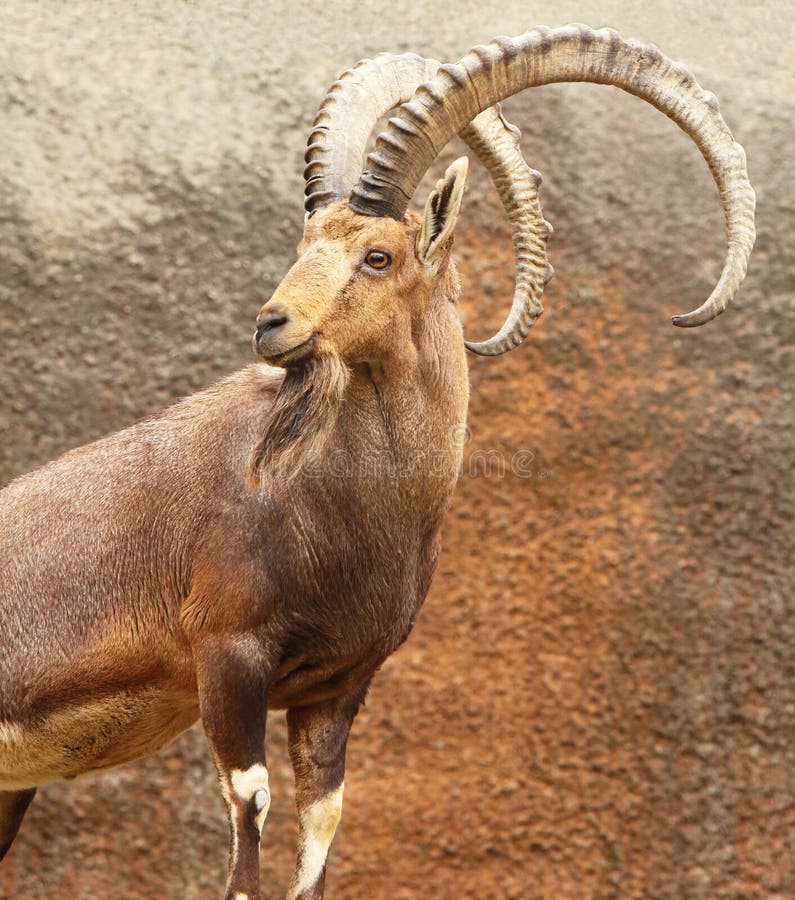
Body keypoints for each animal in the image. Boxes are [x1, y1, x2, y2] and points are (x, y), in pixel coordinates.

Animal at [0, 25, 754, 900]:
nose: (270, 324)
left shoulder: (337, 686)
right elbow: (248, 817)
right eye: (303, 245)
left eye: (378, 256)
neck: (332, 500)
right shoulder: (228, 655)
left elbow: (320, 827)